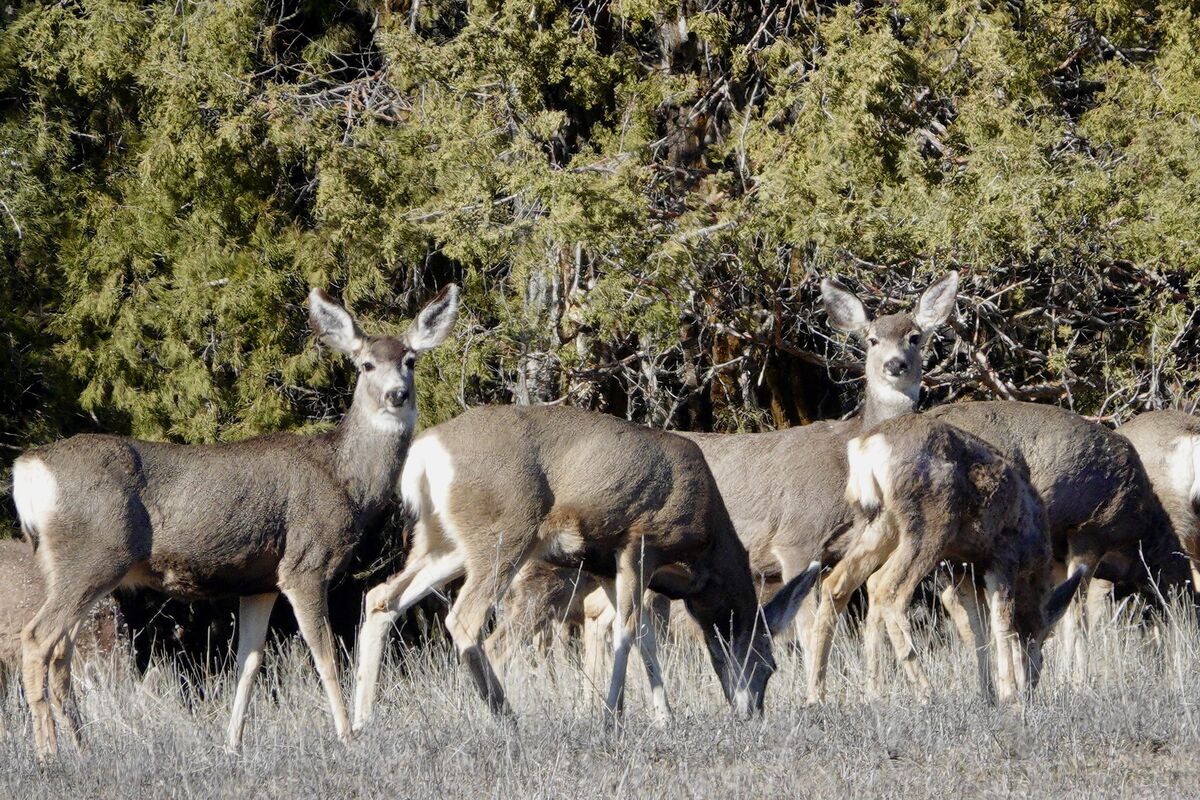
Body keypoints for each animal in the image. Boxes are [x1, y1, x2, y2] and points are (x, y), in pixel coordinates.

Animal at [10, 284, 459, 758]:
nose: (397, 394)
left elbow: (249, 660)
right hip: (93, 554)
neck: (344, 480)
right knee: (37, 638)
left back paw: (82, 746)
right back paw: (49, 752)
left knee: (61, 652)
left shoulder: (259, 582)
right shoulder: (304, 564)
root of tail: (27, 469)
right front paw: (347, 735)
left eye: (410, 360)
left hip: (73, 566)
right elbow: (325, 654)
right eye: (366, 364)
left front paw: (232, 744)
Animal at [351, 404, 817, 731]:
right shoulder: (638, 542)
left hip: (443, 542)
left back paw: (361, 723)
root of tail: (424, 455)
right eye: (768, 665)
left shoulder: (608, 565)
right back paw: (506, 718)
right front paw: (611, 715)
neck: (706, 546)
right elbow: (626, 630)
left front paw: (663, 717)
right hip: (503, 534)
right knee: (464, 619)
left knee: (381, 597)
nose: (752, 715)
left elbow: (645, 636)